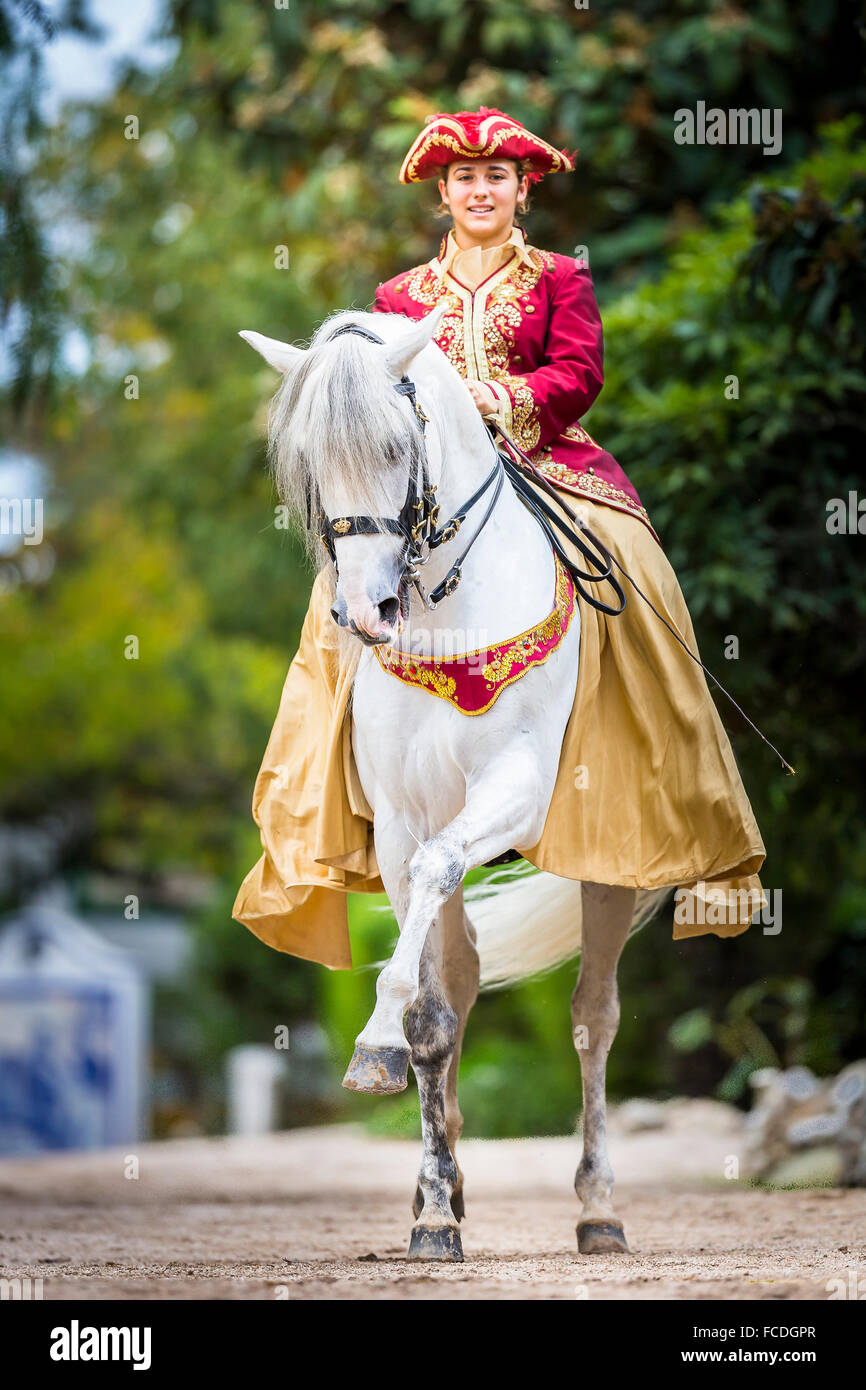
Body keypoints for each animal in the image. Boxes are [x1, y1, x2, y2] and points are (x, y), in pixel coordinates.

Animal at [240, 301, 666, 1261]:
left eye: (400, 446)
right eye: (308, 463)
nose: (365, 613)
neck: (445, 613)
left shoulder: (515, 793)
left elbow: (443, 896)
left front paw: (370, 1042)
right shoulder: (403, 823)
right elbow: (432, 1021)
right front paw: (433, 1208)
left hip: (607, 867)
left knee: (594, 1016)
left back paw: (600, 1208)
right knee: (467, 978)